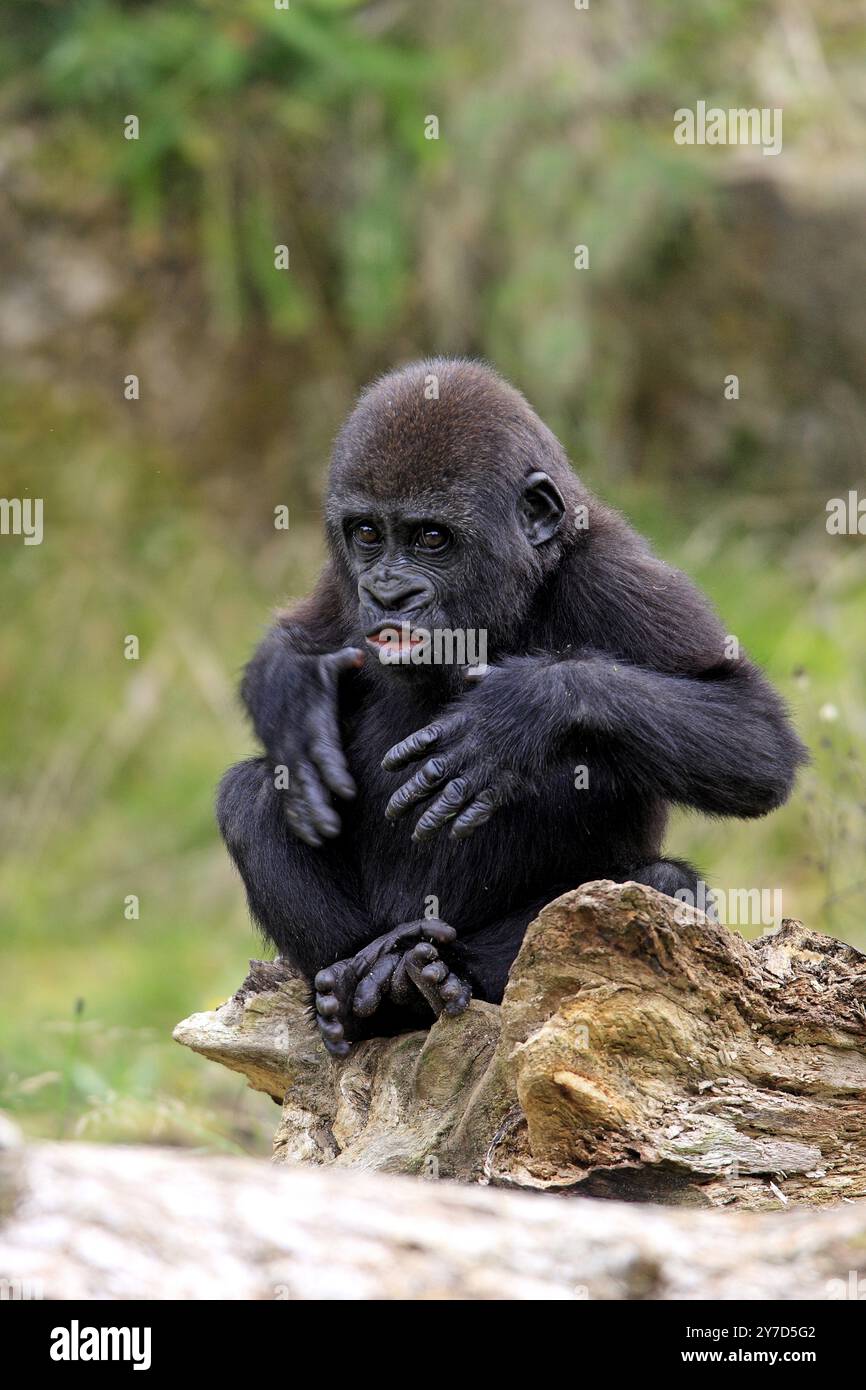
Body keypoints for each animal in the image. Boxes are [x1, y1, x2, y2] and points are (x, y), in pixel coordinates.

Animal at [217, 358, 807, 1056]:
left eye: (432, 539)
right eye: (367, 534)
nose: (388, 596)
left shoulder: (618, 577)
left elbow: (752, 731)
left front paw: (518, 713)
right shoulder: (341, 586)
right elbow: (293, 638)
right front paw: (297, 702)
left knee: (659, 884)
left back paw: (429, 973)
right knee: (253, 791)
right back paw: (360, 990)